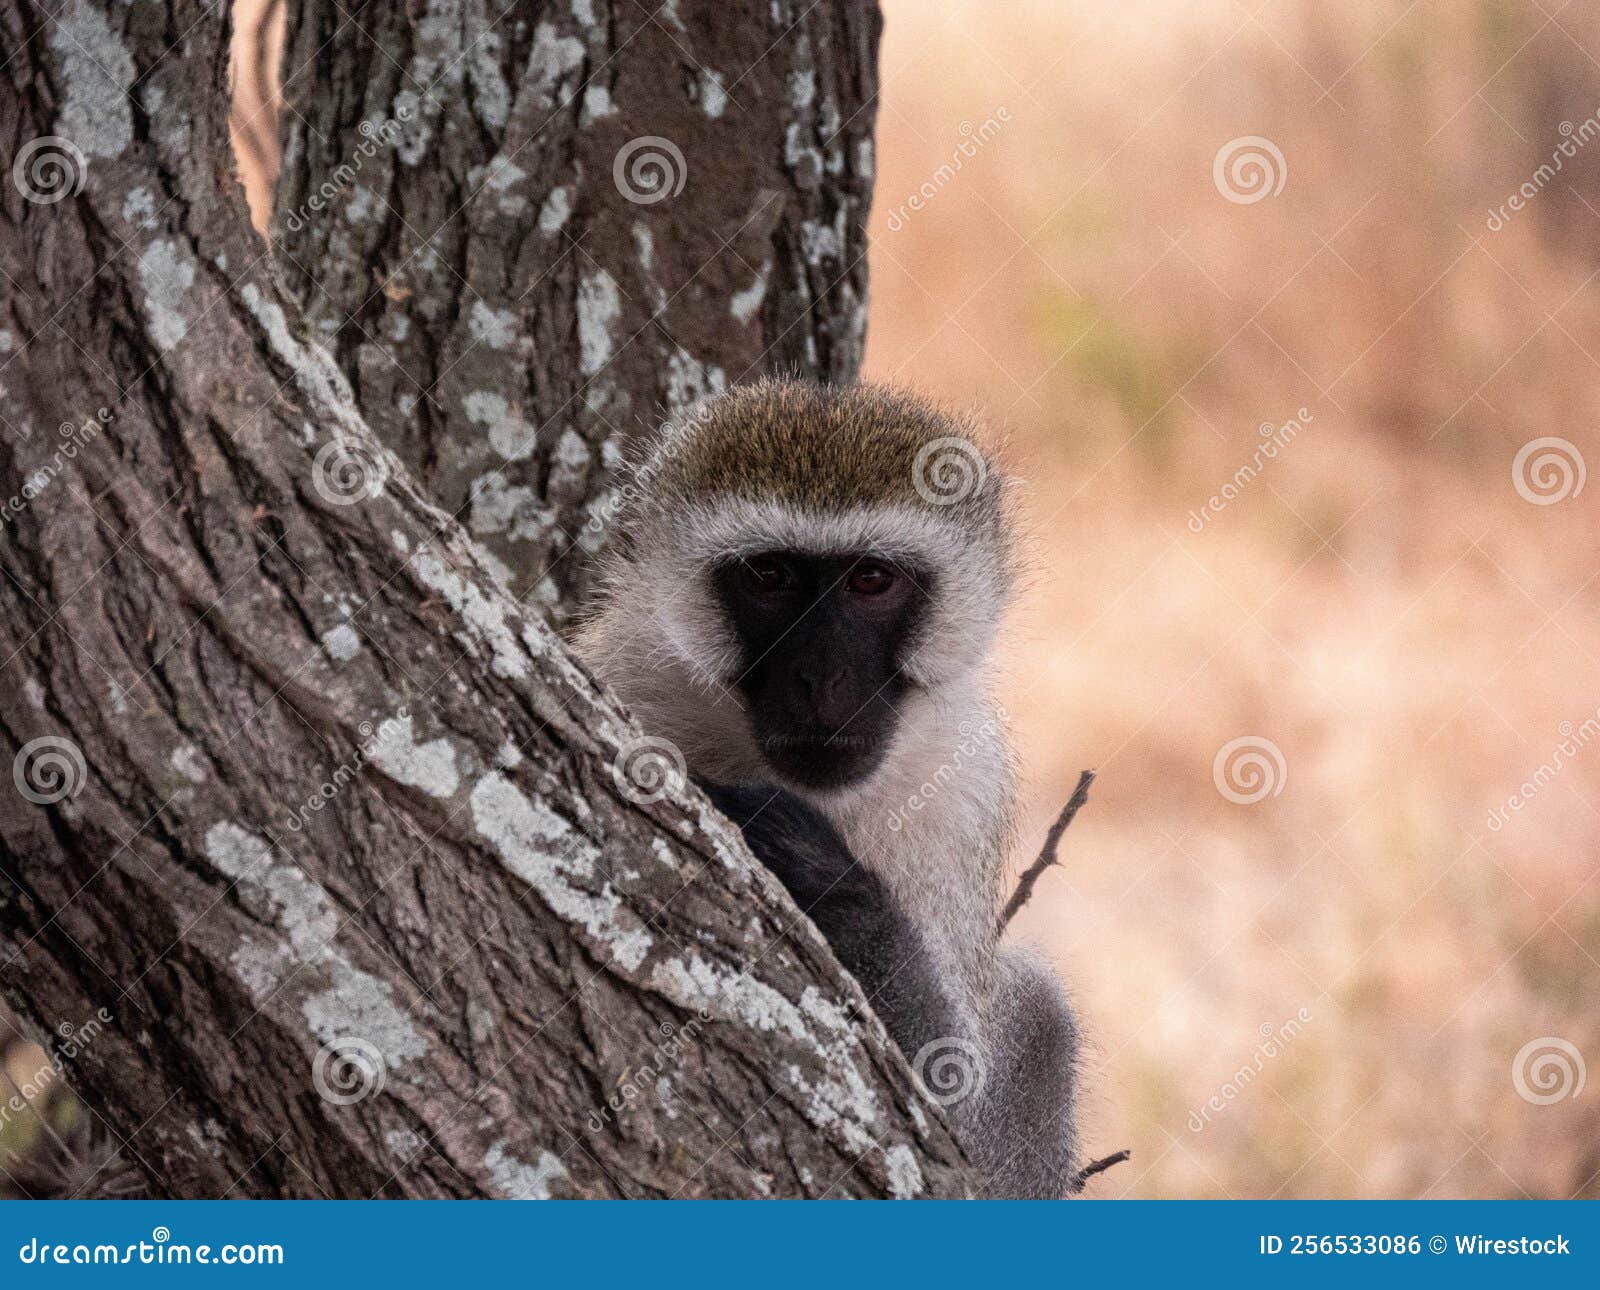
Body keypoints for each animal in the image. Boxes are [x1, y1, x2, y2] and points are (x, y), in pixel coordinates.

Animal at [573, 378, 1080, 1198]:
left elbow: (949, 1125)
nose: (822, 678)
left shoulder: (963, 791)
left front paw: (832, 885)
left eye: (870, 580)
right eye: (771, 576)